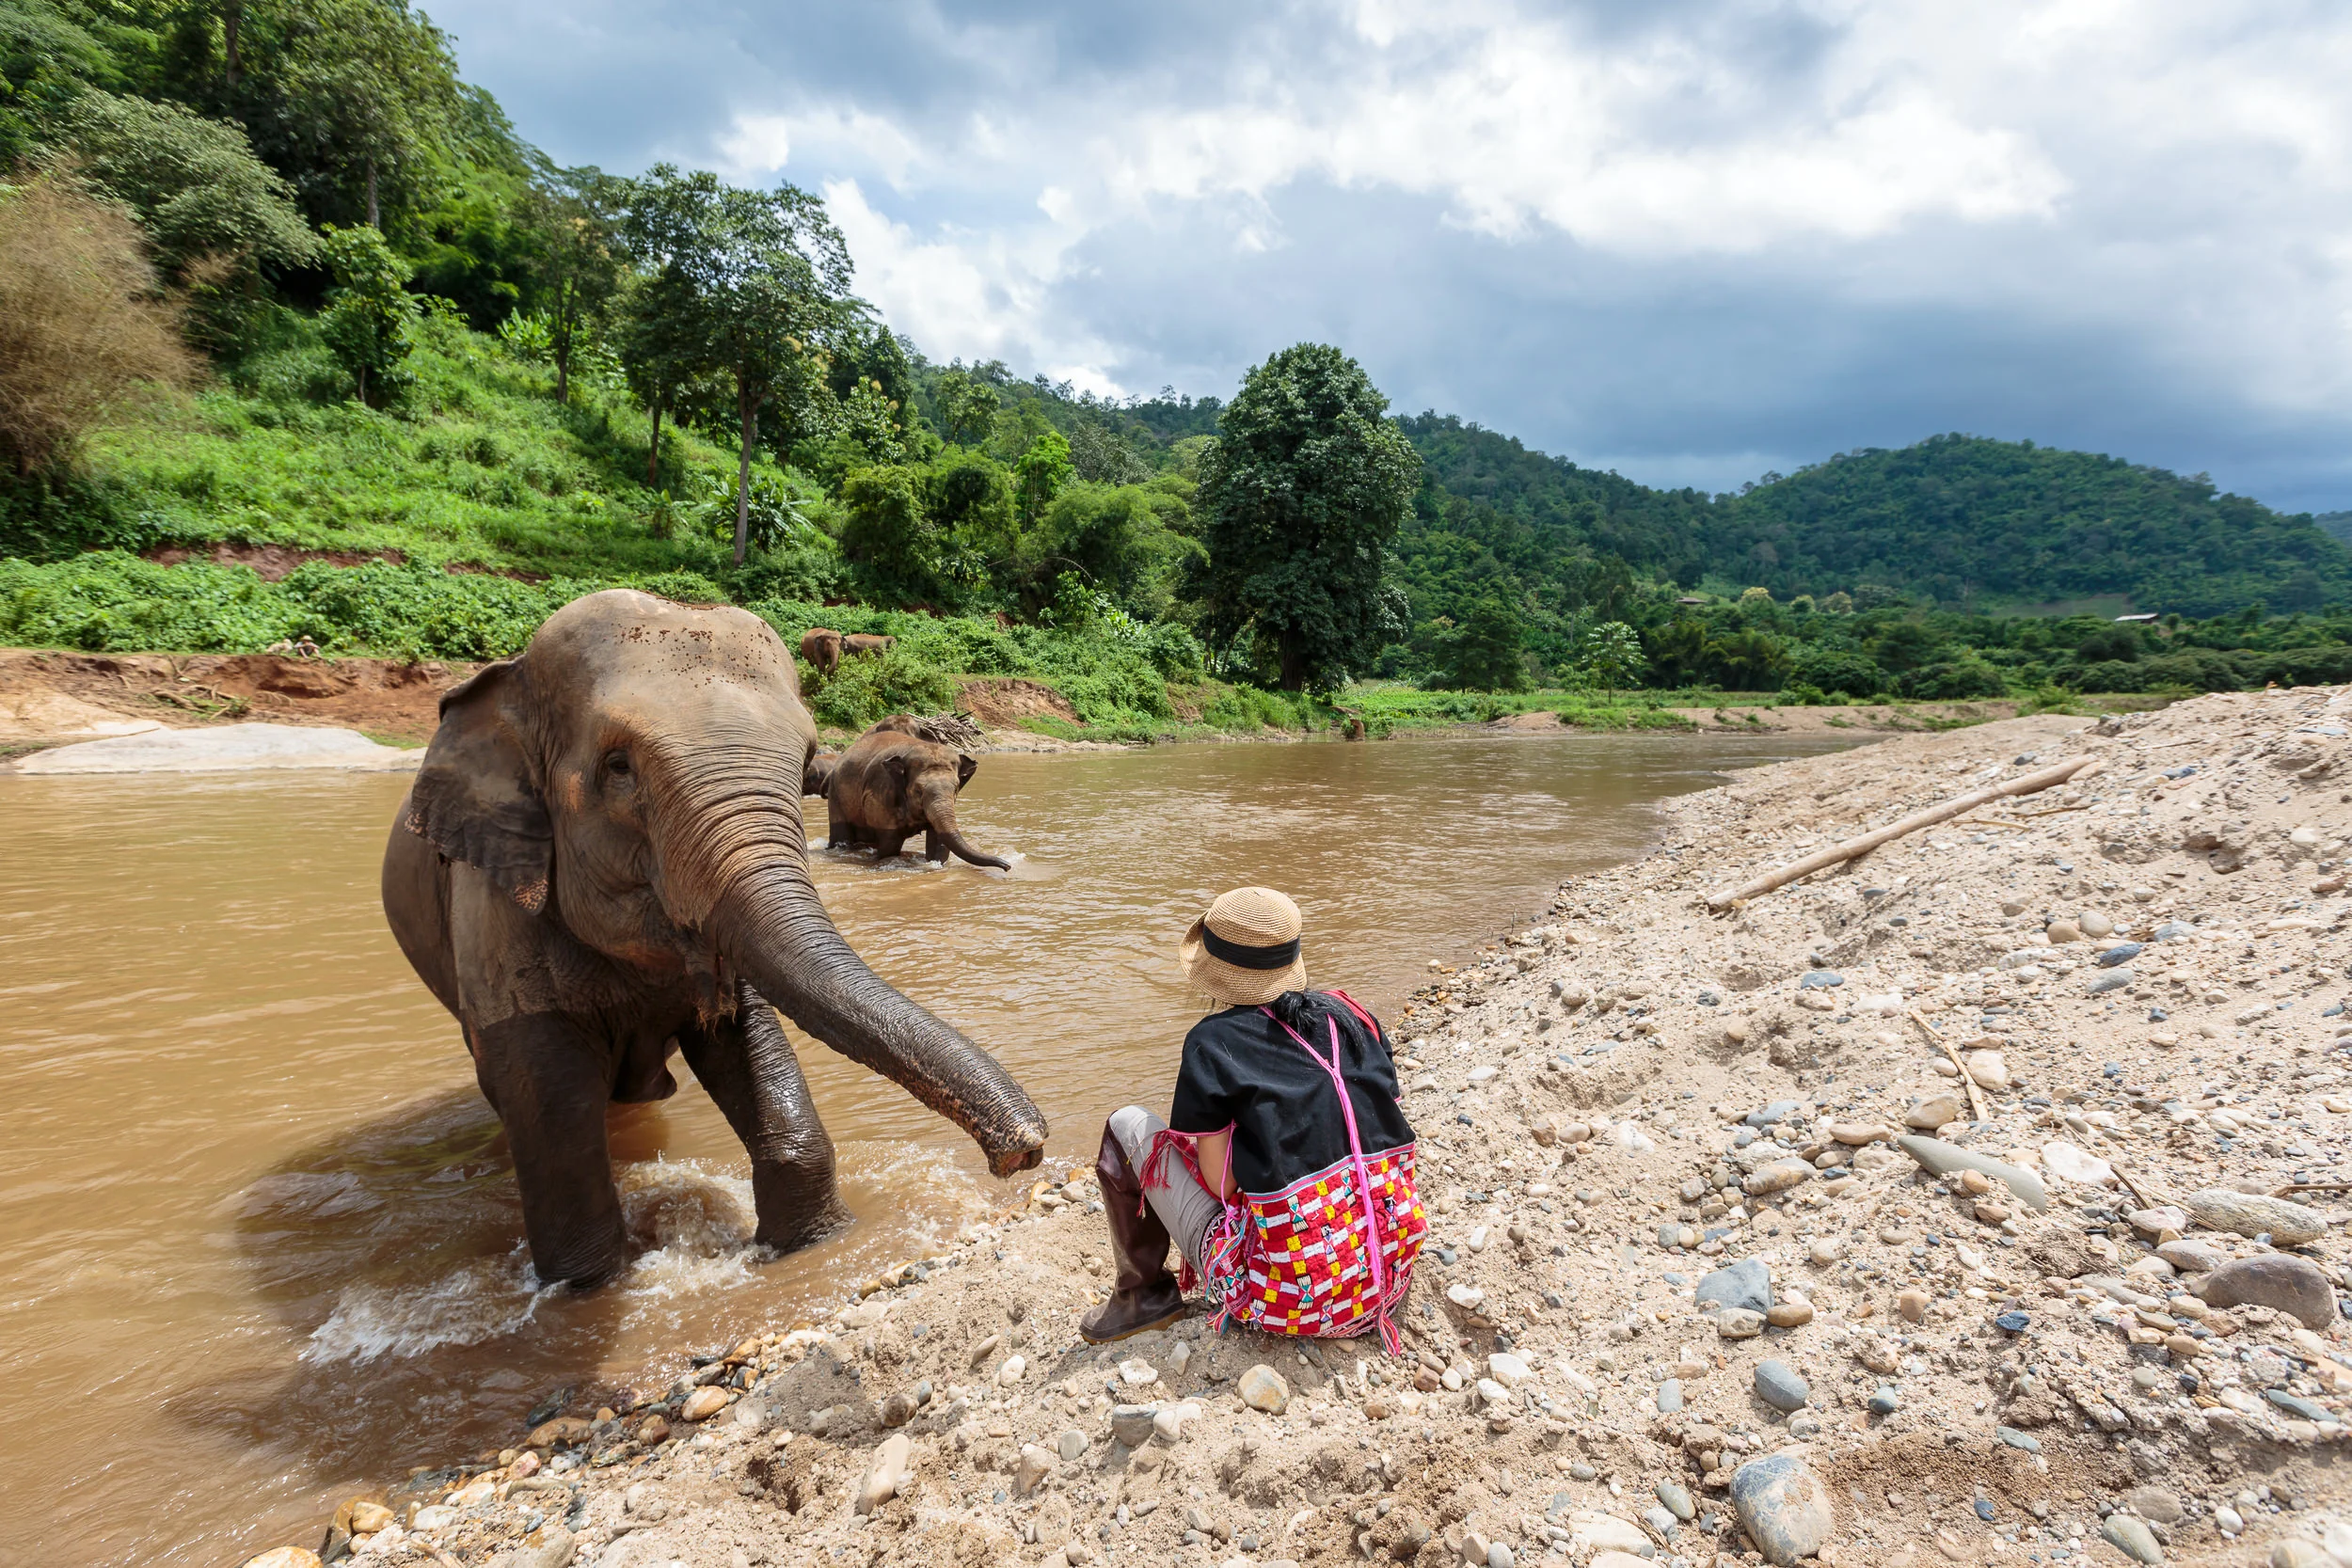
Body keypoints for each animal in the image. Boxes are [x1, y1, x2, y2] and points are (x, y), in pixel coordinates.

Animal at [823, 717, 1011, 870]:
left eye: (956, 789)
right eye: (918, 790)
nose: (1007, 866)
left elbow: (939, 842)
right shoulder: (880, 794)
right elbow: (890, 844)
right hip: (836, 796)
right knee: (842, 834)